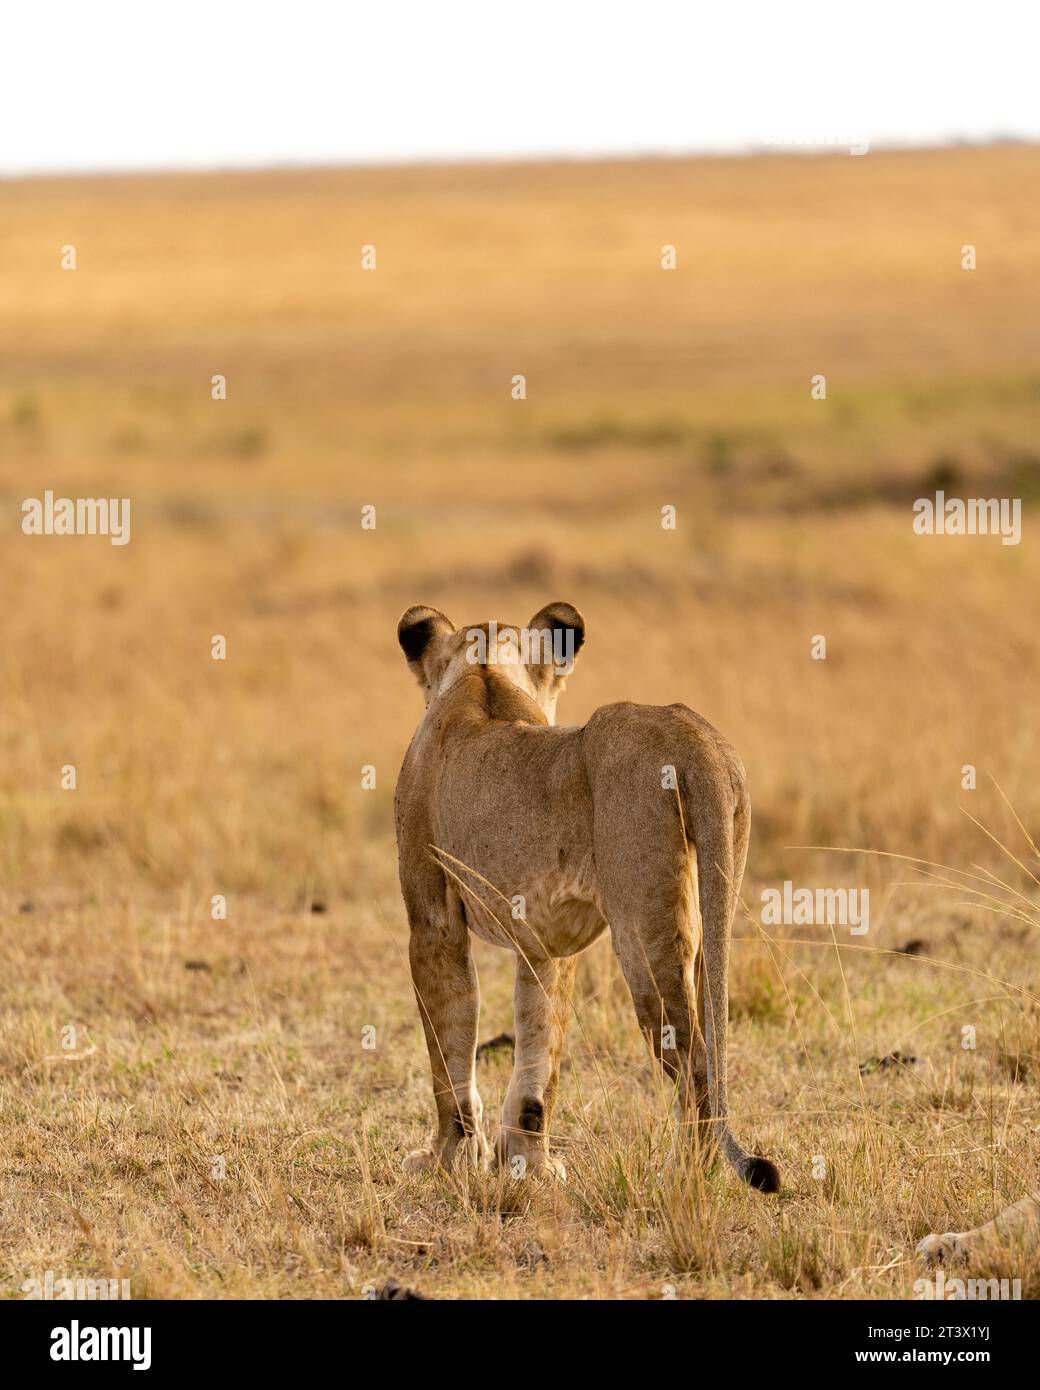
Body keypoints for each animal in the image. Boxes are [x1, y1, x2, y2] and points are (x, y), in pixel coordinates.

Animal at [393, 600, 780, 1192]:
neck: (483, 675)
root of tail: (692, 740)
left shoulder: (432, 922)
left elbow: (449, 1048)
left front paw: (446, 1159)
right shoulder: (545, 942)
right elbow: (538, 1053)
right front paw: (528, 1163)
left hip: (644, 934)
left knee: (694, 1061)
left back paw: (678, 1177)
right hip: (707, 905)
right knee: (709, 1045)